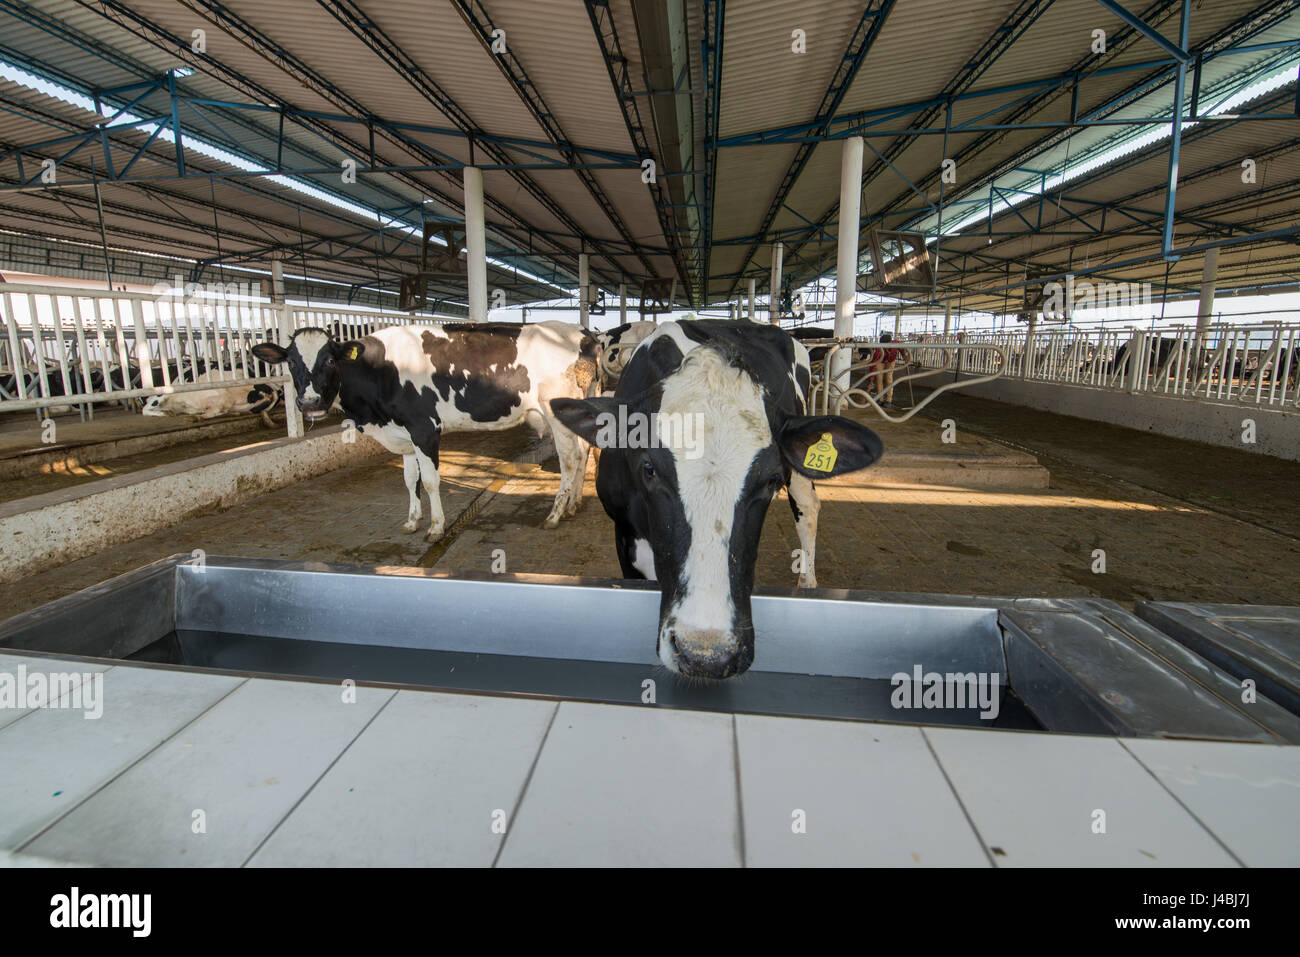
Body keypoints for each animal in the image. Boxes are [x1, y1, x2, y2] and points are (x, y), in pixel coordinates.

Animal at [252, 321, 598, 539]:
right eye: (291, 363)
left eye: (329, 361)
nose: (310, 403)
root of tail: (581, 332)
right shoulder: (403, 433)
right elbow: (409, 480)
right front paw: (411, 520)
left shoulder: (425, 429)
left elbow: (430, 481)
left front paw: (436, 527)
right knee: (583, 453)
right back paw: (573, 505)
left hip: (555, 411)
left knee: (569, 460)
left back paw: (554, 515)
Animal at [549, 319, 883, 680]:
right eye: (648, 468)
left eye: (771, 478)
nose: (705, 654)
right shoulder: (623, 531)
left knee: (808, 509)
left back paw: (807, 581)